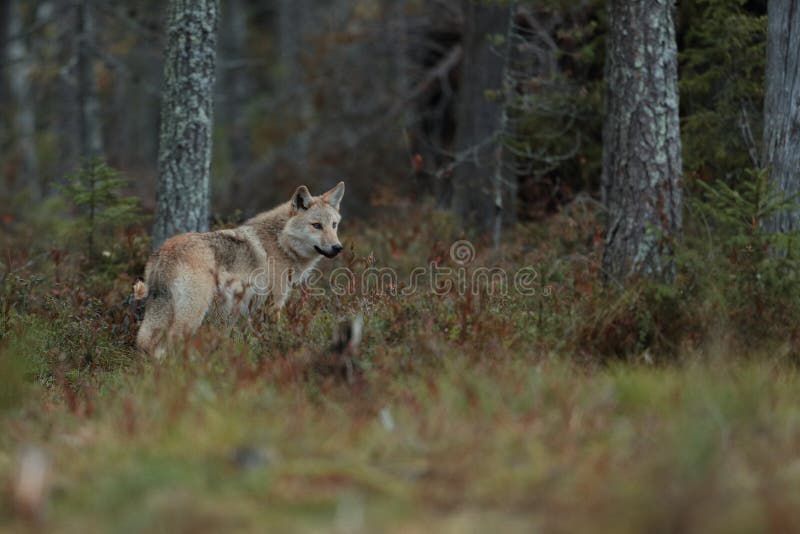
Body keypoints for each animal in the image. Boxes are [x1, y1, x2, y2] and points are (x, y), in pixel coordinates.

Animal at [134, 182, 345, 356]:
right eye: (316, 225)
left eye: (334, 225)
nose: (338, 247)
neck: (281, 242)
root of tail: (163, 250)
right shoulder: (274, 304)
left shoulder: (241, 312)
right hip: (192, 314)